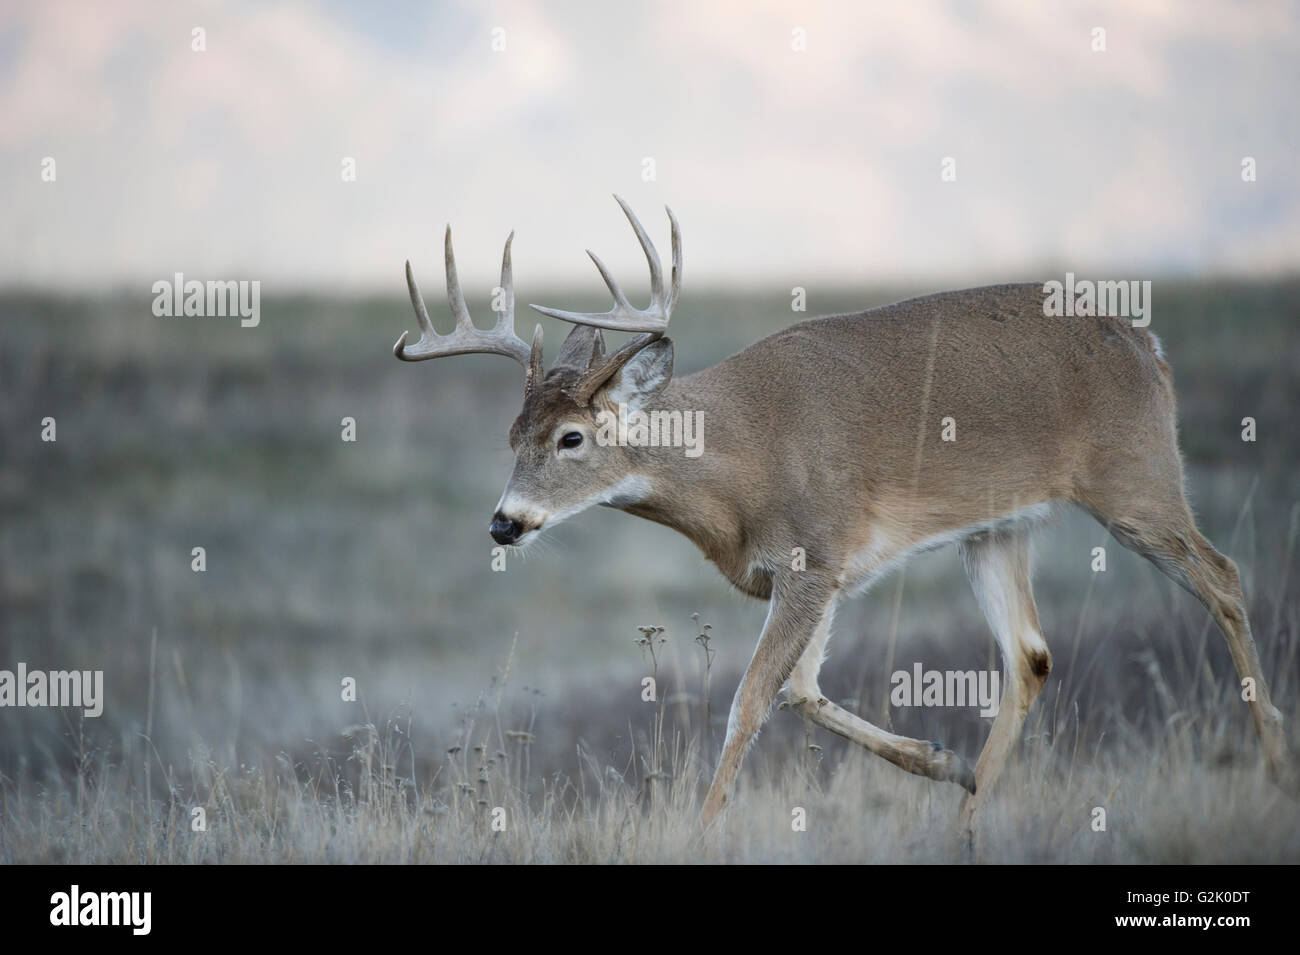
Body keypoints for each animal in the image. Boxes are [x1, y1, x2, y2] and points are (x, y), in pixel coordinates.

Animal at [390, 195, 1294, 832]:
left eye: (572, 436)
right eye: (513, 434)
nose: (504, 522)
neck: (739, 465)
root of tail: (1149, 345)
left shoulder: (812, 554)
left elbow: (752, 700)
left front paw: (699, 834)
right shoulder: (822, 571)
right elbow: (801, 688)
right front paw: (941, 760)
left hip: (1134, 478)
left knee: (1224, 575)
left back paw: (1275, 763)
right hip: (996, 529)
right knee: (1032, 655)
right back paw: (966, 819)